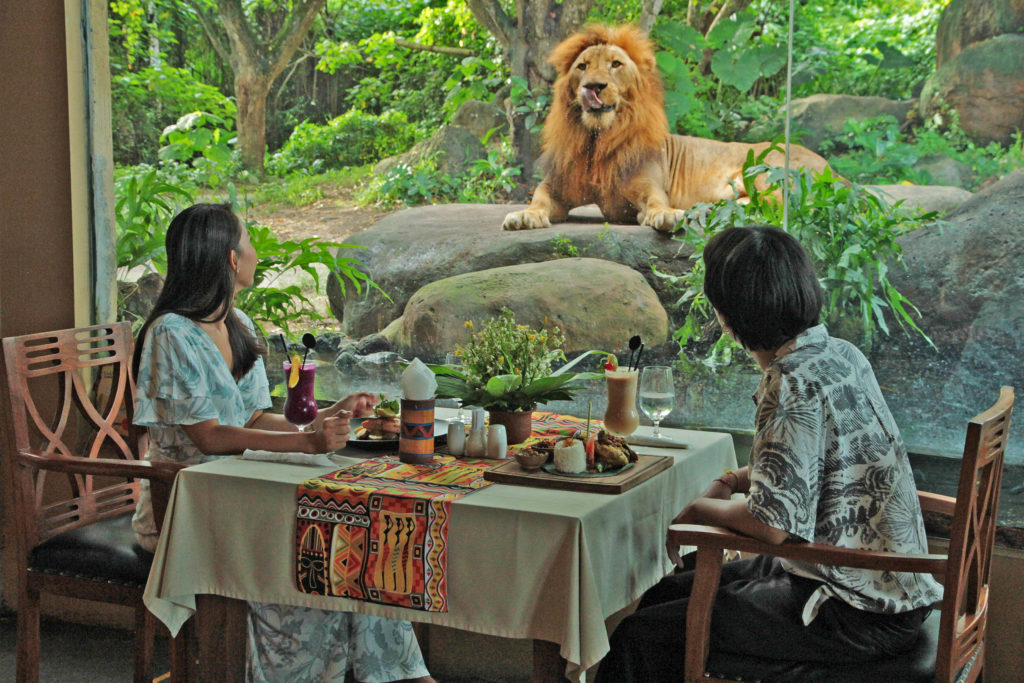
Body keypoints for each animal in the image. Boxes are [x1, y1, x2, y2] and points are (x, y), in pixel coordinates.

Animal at [502, 24, 833, 233]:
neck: (599, 139)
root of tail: (831, 169)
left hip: (767, 172)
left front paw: (666, 216)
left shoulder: (649, 186)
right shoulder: (556, 186)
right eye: (582, 66)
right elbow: (538, 199)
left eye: (615, 64)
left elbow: (655, 203)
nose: (593, 86)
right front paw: (523, 216)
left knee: (784, 207)